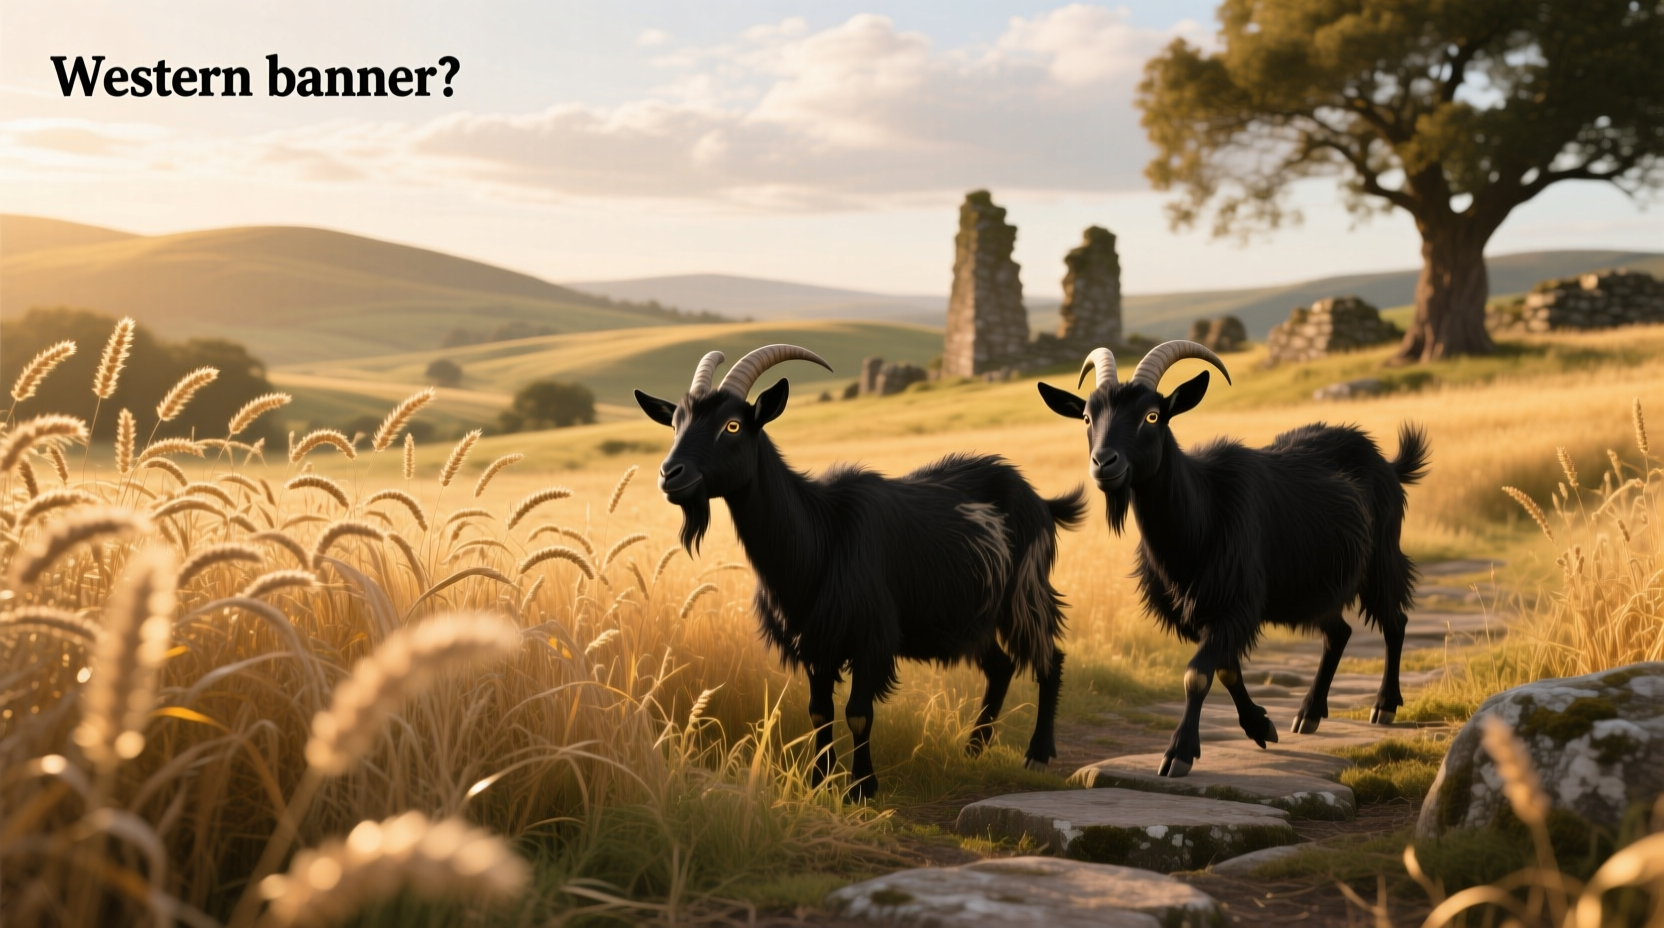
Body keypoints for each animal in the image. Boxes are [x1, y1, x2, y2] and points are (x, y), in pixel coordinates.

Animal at [636, 345, 1087, 798]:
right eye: (674, 424)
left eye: (732, 426)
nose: (670, 474)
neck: (818, 539)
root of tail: (1041, 501)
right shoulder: (813, 641)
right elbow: (819, 711)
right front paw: (819, 780)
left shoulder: (871, 636)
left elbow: (858, 713)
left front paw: (863, 787)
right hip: (971, 614)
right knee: (1001, 666)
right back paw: (974, 748)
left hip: (1024, 590)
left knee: (1049, 657)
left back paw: (1037, 753)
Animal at [1037, 340, 1428, 778]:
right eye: (1087, 417)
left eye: (1152, 416)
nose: (1104, 463)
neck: (1201, 518)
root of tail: (1387, 462)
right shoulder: (1204, 612)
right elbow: (1226, 669)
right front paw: (1260, 726)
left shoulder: (1235, 602)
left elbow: (1197, 674)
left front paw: (1179, 753)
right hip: (1314, 585)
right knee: (1338, 633)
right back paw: (1308, 713)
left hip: (1380, 561)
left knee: (1394, 621)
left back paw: (1384, 705)